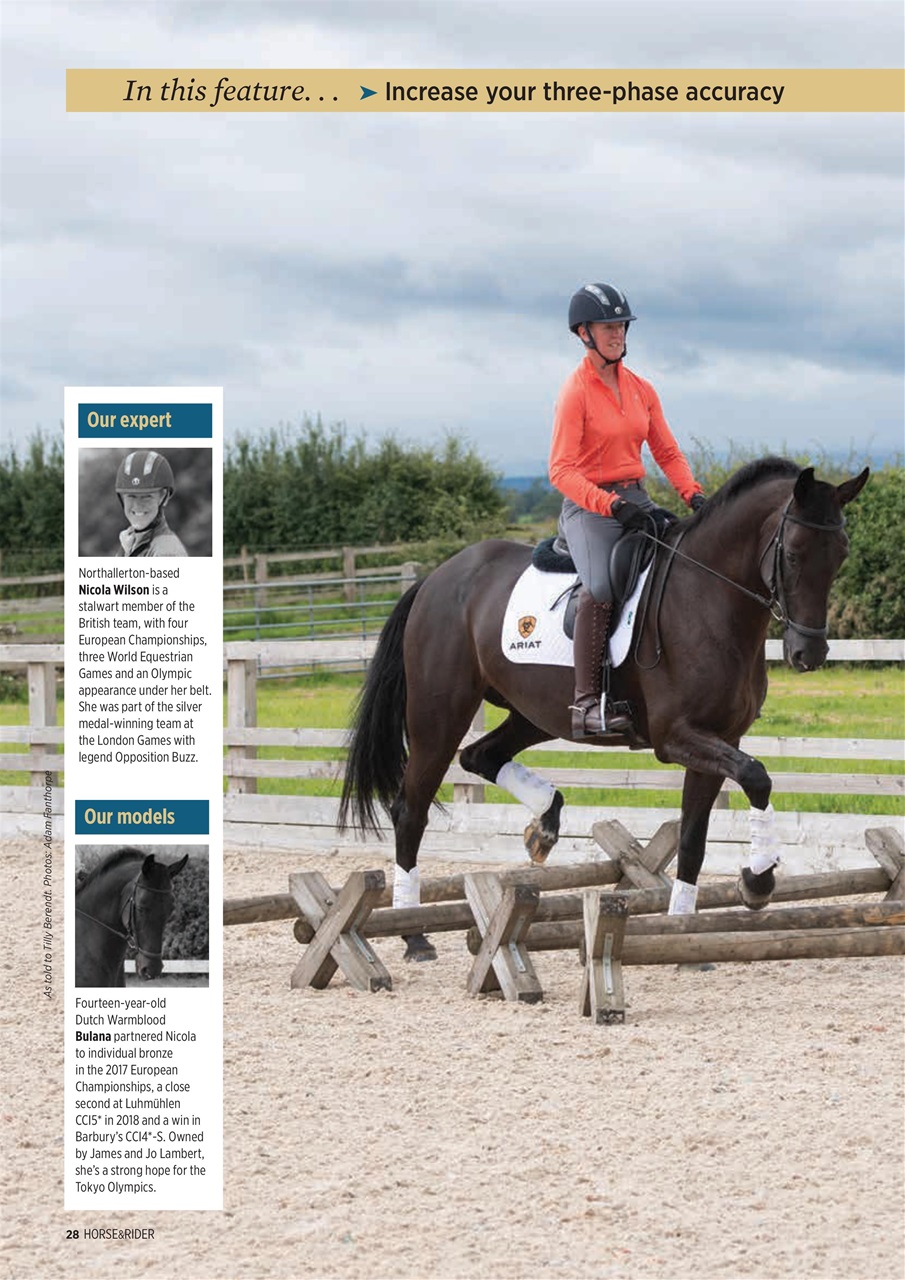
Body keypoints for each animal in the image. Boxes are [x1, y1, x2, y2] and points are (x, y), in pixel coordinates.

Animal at [338, 457, 868, 959]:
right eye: (793, 554)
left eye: (841, 554)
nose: (809, 653)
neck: (709, 600)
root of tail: (436, 579)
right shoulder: (676, 737)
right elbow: (758, 777)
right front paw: (758, 880)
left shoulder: (720, 739)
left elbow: (694, 839)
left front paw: (684, 935)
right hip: (439, 718)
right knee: (412, 810)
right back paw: (413, 935)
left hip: (535, 713)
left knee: (480, 756)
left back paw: (545, 823)